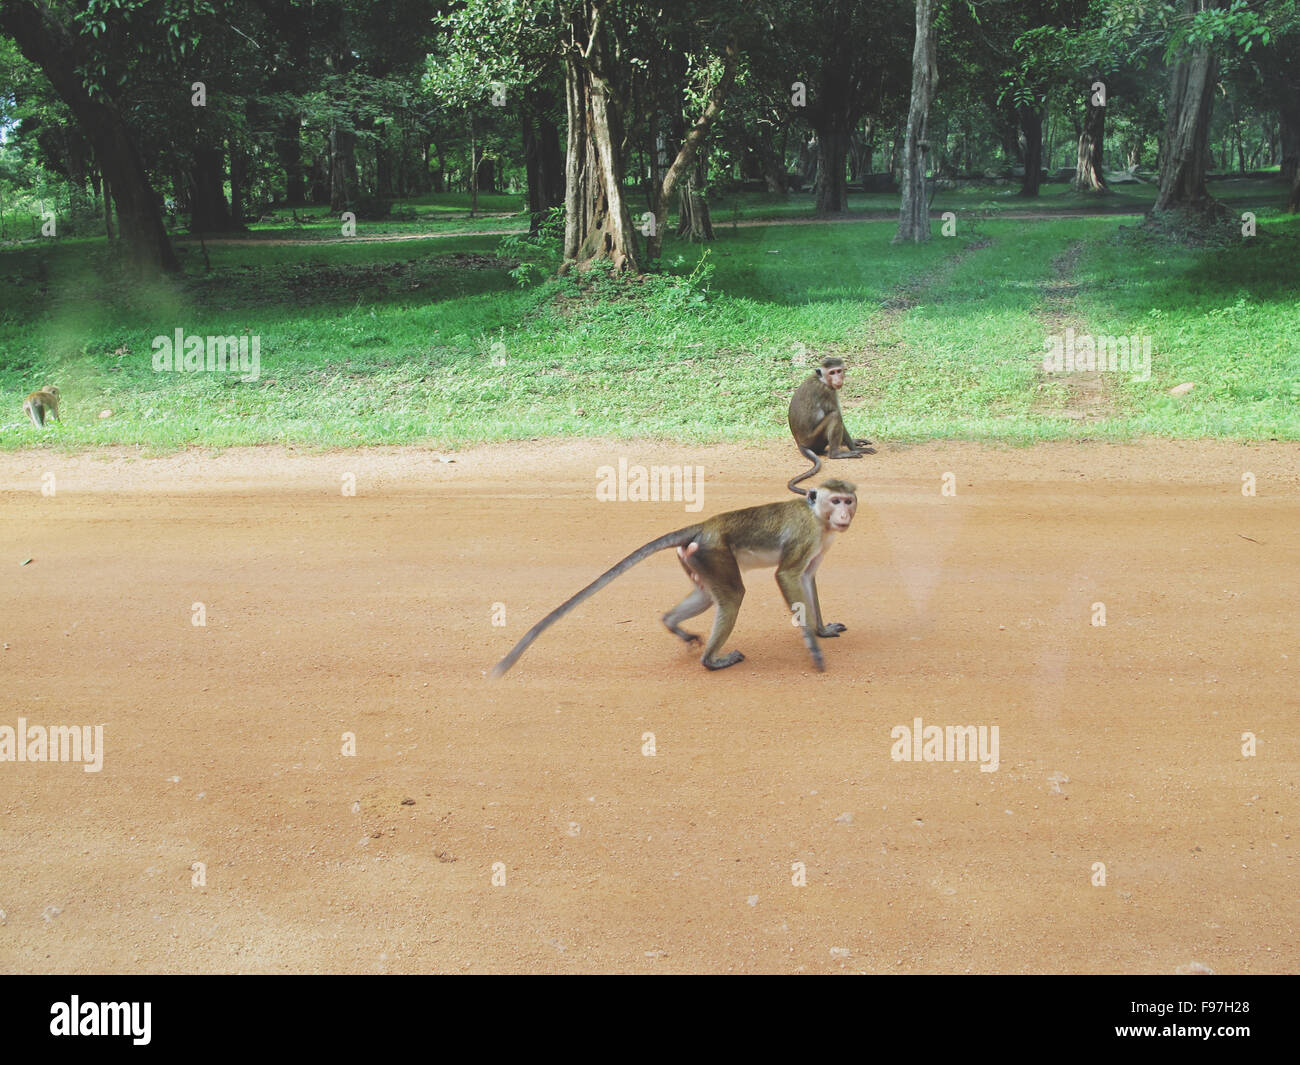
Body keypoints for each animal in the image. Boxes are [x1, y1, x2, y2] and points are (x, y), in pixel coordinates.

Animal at [490, 479, 858, 678]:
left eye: (848, 500)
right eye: (836, 500)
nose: (844, 513)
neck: (817, 517)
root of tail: (706, 525)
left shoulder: (822, 541)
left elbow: (807, 577)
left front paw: (821, 630)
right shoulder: (807, 533)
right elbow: (786, 575)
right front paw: (813, 648)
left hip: (696, 557)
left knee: (710, 596)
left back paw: (673, 624)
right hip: (712, 551)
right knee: (732, 596)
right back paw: (711, 661)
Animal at [787, 357, 872, 494]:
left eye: (838, 371)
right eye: (832, 372)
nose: (838, 379)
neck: (821, 380)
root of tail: (800, 443)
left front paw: (855, 441)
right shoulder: (827, 392)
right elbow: (838, 414)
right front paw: (856, 448)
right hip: (815, 439)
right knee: (834, 416)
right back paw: (835, 453)